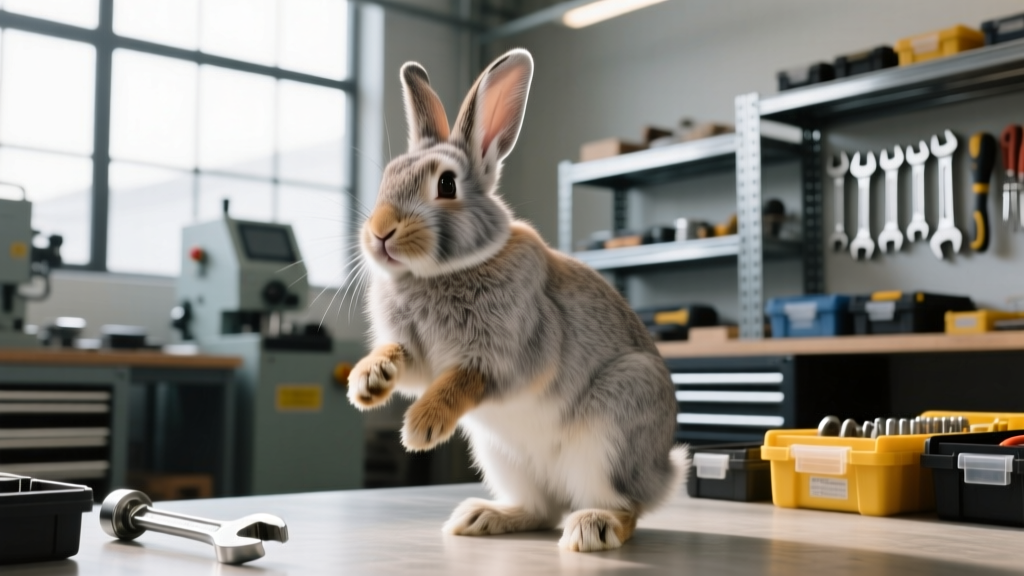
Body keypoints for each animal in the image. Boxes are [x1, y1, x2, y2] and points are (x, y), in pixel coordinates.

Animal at [347, 47, 688, 552]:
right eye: (388, 178)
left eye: (446, 185)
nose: (380, 232)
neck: (438, 273)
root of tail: (663, 472)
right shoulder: (419, 355)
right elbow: (402, 360)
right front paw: (367, 382)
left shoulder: (512, 353)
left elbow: (464, 379)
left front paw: (421, 426)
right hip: (501, 458)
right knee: (540, 510)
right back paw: (482, 517)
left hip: (614, 430)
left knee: (626, 508)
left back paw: (592, 527)